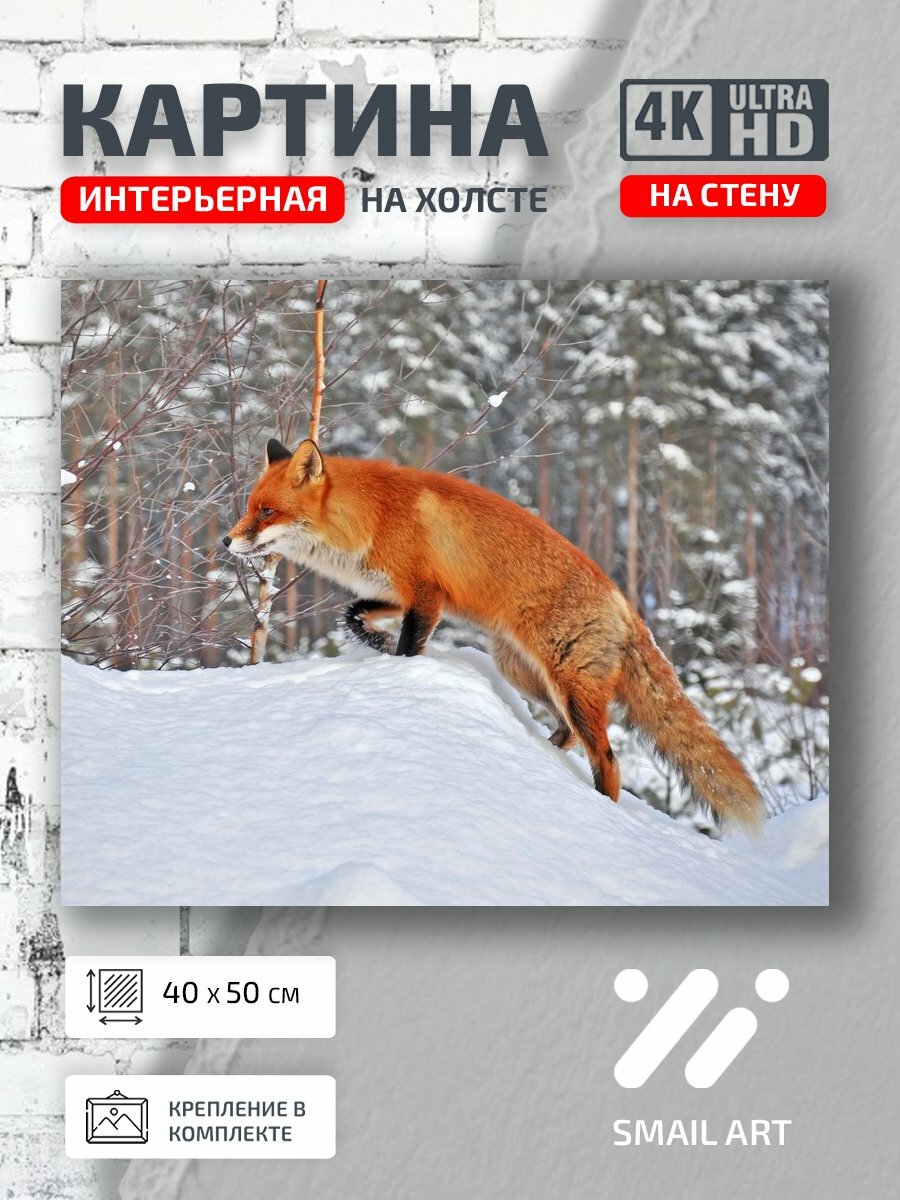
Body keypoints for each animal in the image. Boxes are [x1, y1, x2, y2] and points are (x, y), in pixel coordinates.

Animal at [224, 438, 763, 830]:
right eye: (250, 507)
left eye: (266, 512)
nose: (226, 541)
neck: (369, 516)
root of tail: (626, 605)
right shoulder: (401, 592)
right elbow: (351, 613)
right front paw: (373, 643)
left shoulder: (427, 595)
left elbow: (408, 647)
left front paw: (397, 667)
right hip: (524, 673)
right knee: (568, 736)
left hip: (569, 686)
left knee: (608, 761)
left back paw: (601, 813)